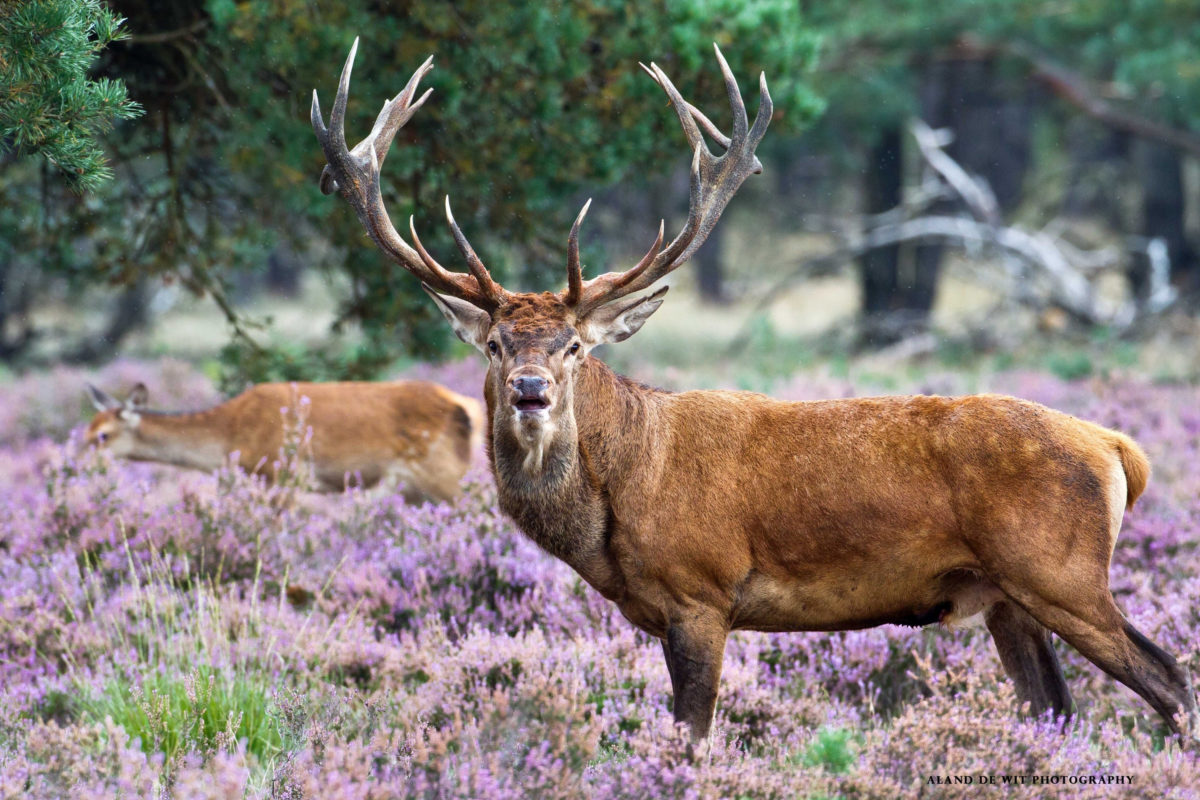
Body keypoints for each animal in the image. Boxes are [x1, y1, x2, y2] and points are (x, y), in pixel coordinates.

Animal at [84, 380, 482, 503]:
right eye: (87, 430)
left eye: (103, 436)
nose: (79, 467)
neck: (230, 437)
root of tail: (468, 408)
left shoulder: (284, 471)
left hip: (446, 474)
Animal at [311, 38, 1198, 741]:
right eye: (495, 345)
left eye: (572, 347)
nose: (530, 390)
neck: (615, 506)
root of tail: (1119, 449)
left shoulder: (700, 592)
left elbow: (693, 731)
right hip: (1010, 596)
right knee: (1055, 707)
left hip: (1061, 570)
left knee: (1170, 679)